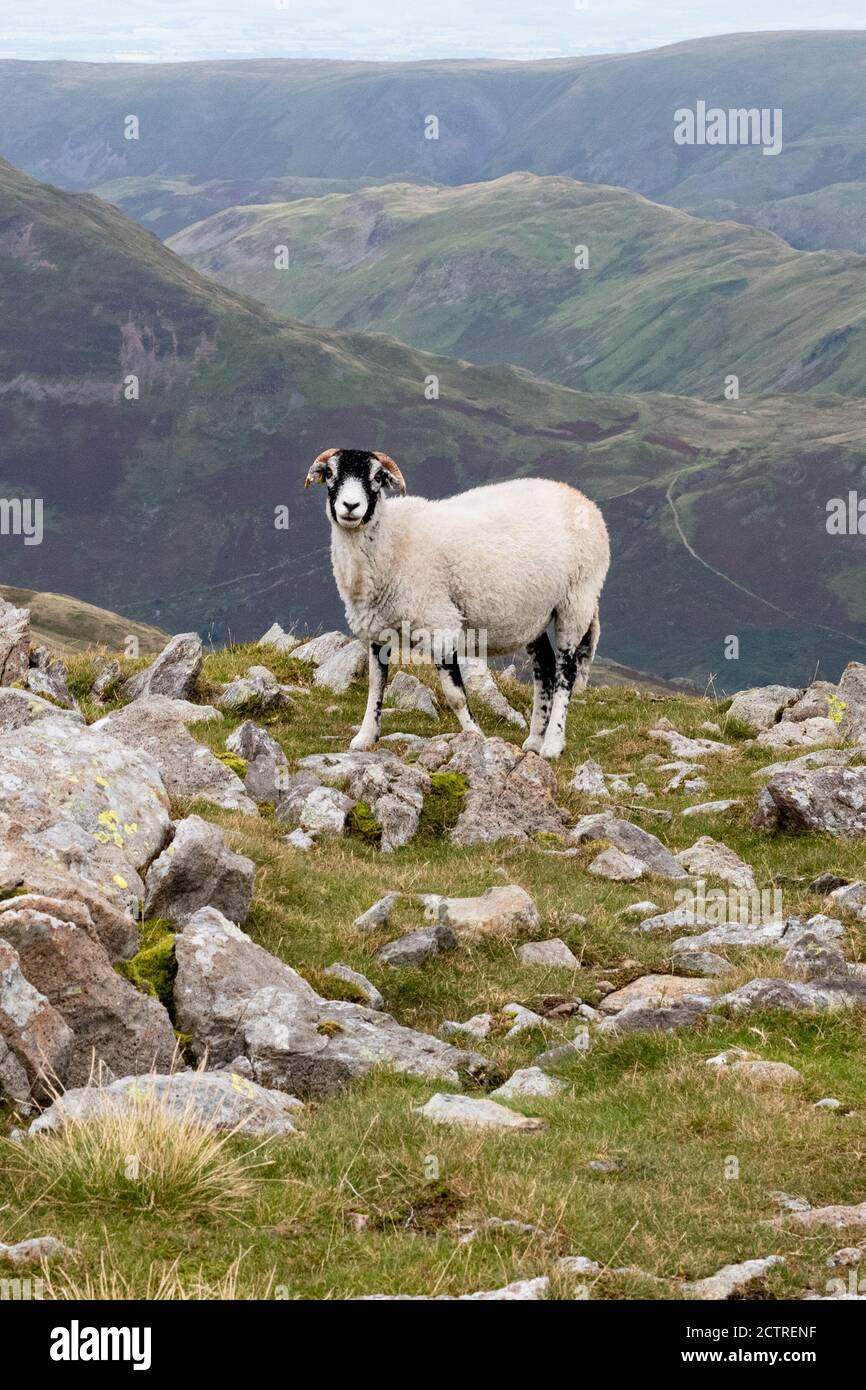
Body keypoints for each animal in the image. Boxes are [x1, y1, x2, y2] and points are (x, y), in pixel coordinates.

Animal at [305, 447, 610, 759]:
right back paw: (535, 740)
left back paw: (552, 743)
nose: (350, 506)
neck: (391, 540)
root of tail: (584, 501)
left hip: (576, 600)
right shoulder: (378, 630)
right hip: (533, 612)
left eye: (377, 477)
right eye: (330, 473)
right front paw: (365, 737)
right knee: (545, 667)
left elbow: (455, 695)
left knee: (565, 671)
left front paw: (475, 735)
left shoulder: (441, 624)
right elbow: (375, 685)